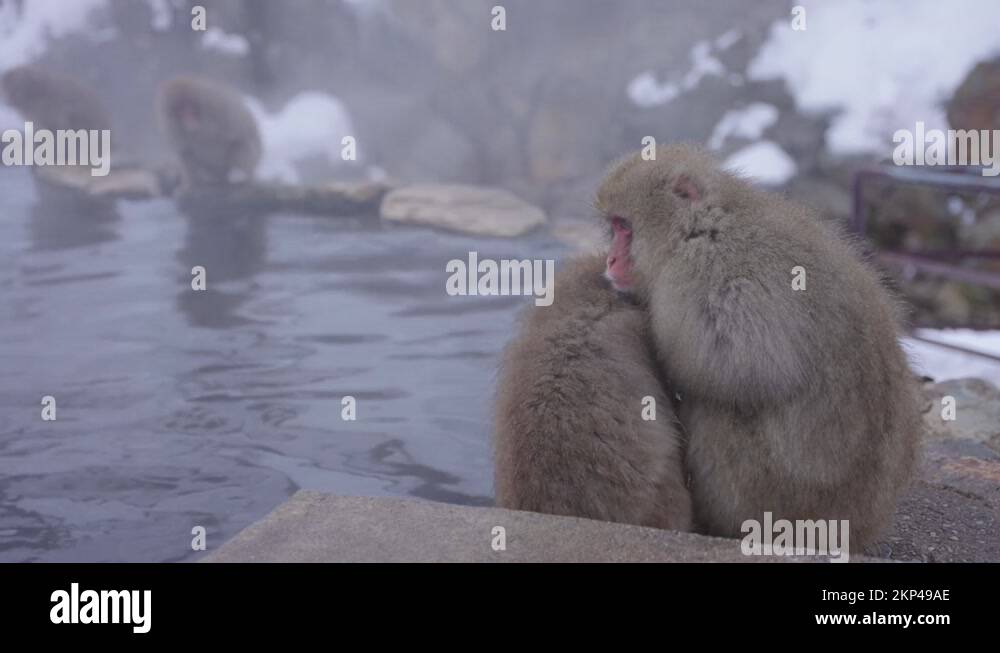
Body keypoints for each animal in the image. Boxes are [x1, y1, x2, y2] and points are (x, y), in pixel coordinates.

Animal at [595, 144, 922, 551]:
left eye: (624, 227)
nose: (611, 259)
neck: (695, 227)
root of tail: (859, 524)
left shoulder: (711, 266)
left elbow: (748, 365)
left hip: (776, 494)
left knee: (716, 409)